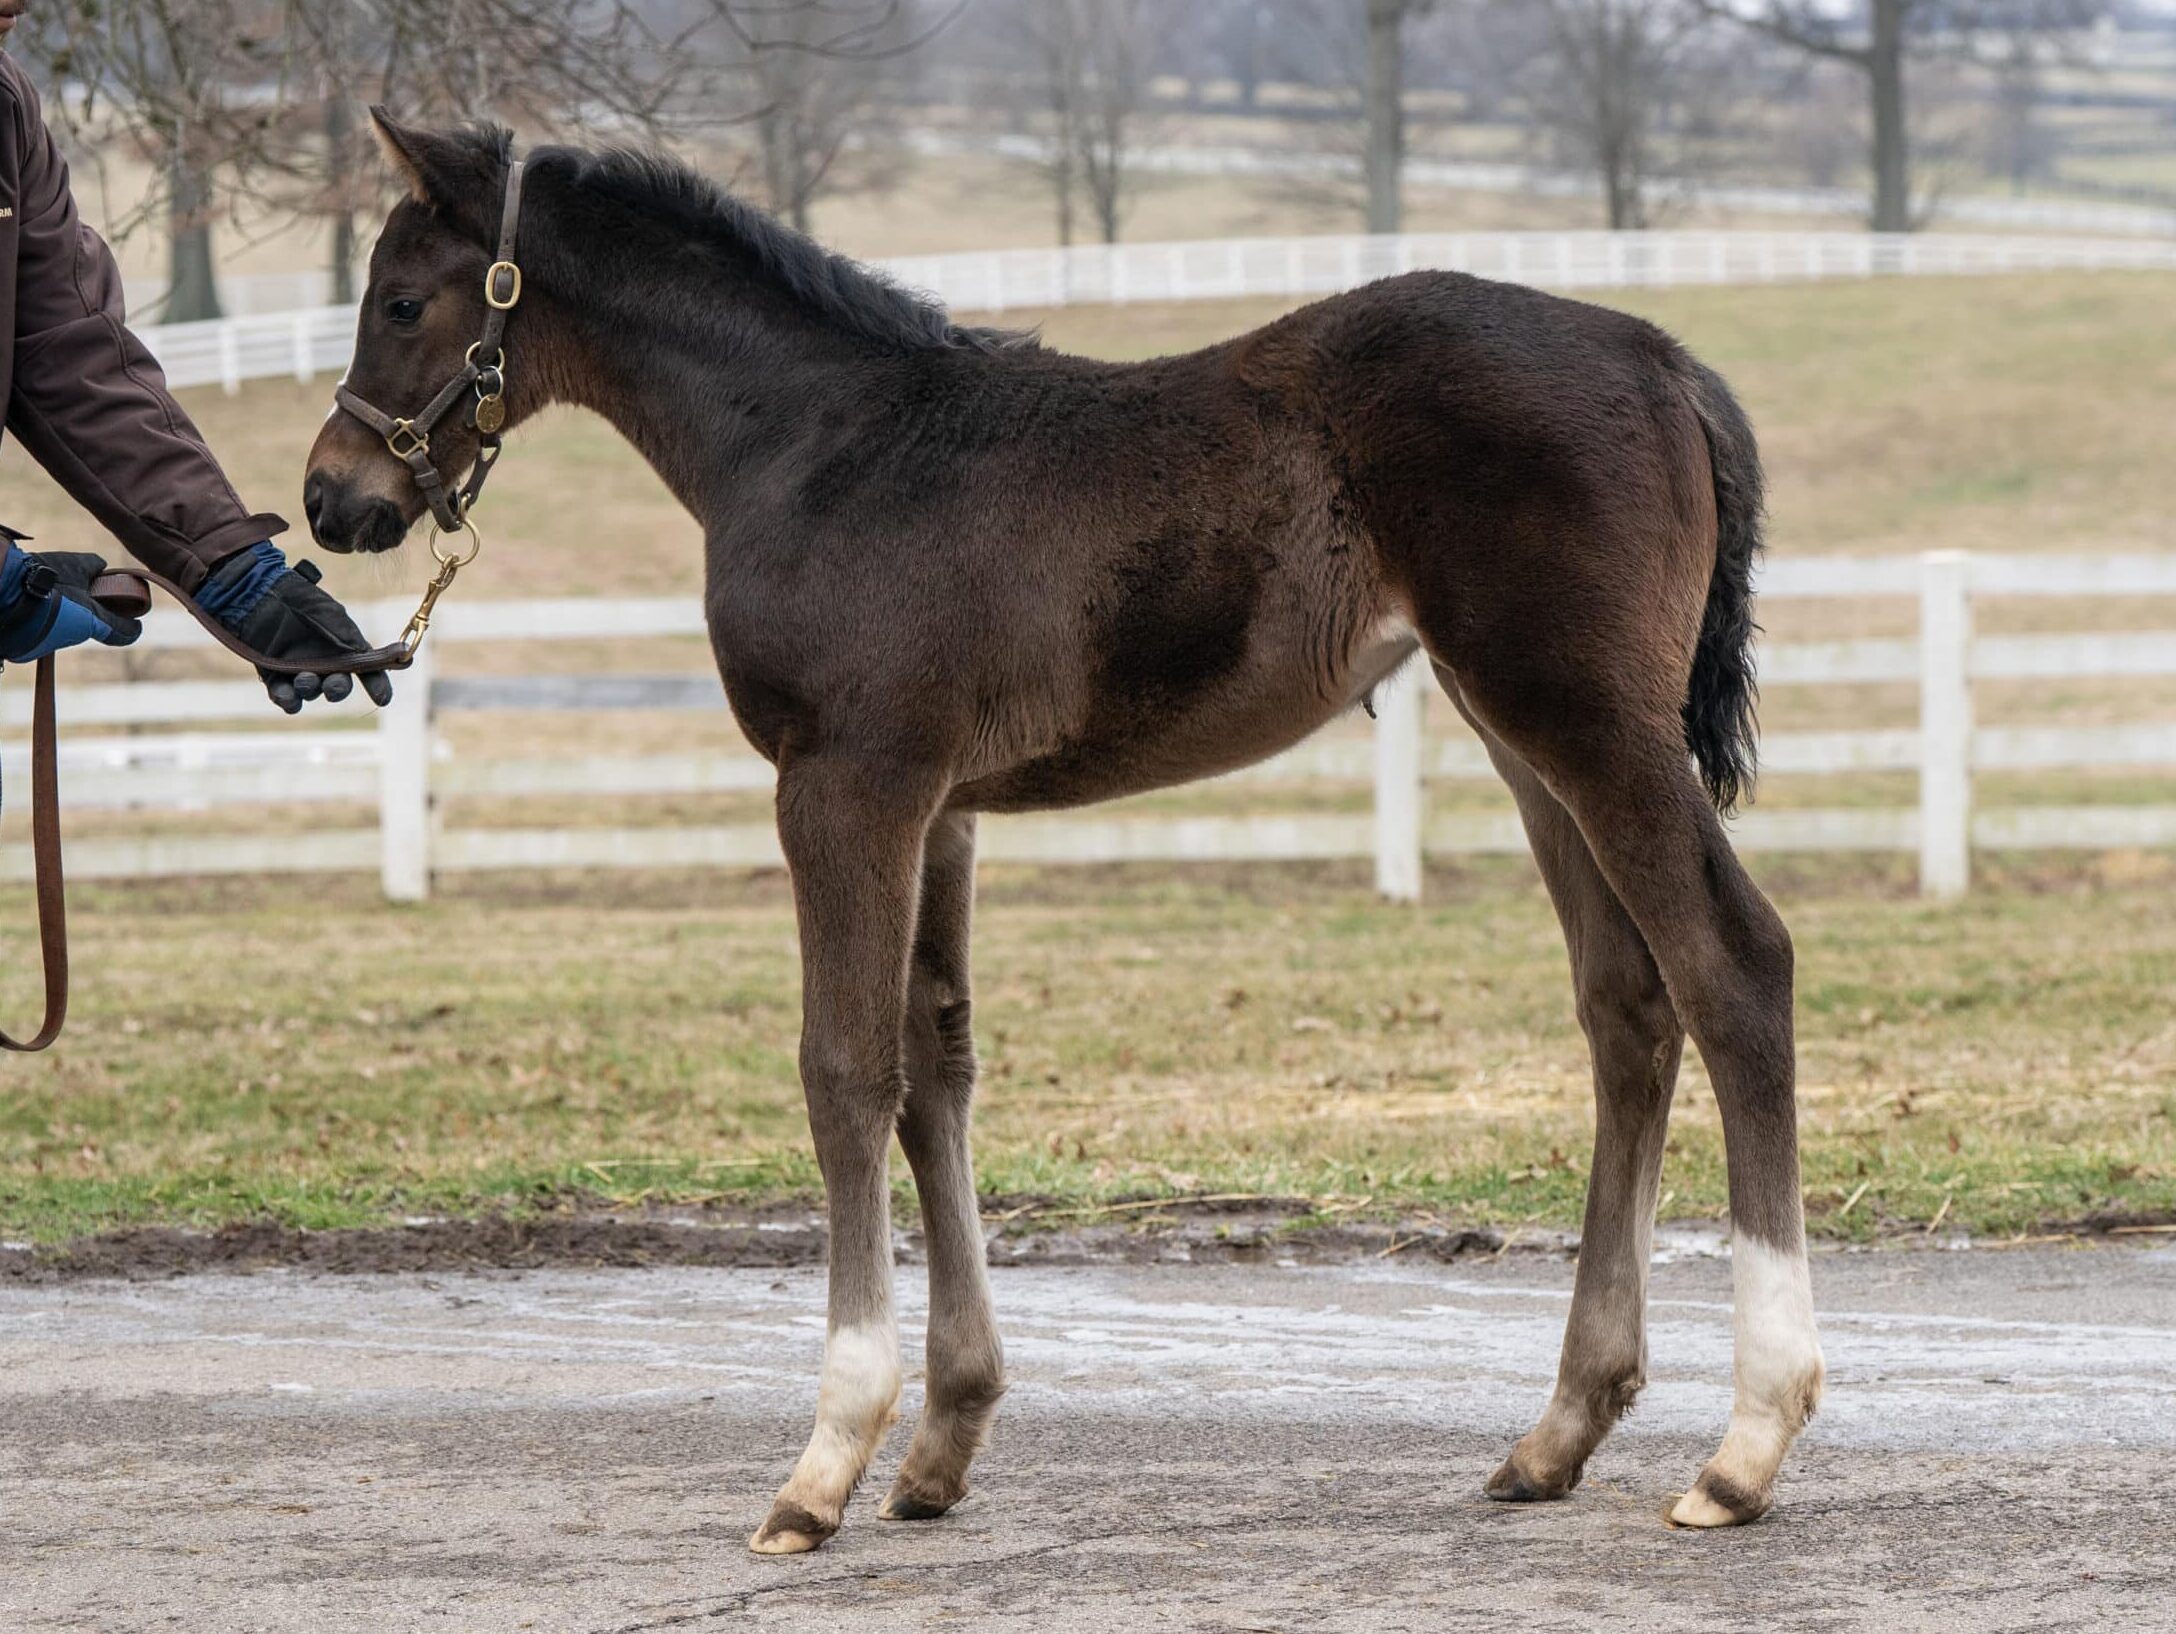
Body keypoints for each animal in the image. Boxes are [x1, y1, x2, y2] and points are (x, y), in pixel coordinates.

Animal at [304, 113, 1823, 1555]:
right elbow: (935, 1070)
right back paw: (1560, 1429)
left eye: (398, 298)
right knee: (1627, 1005)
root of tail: (1659, 359)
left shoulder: (843, 784)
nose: (330, 497)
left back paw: (1745, 1445)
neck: (816, 447)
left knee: (1733, 964)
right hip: (1521, 736)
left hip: (1587, 721)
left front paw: (825, 1460)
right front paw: (940, 1440)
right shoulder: (941, 807)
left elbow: (842, 1070)